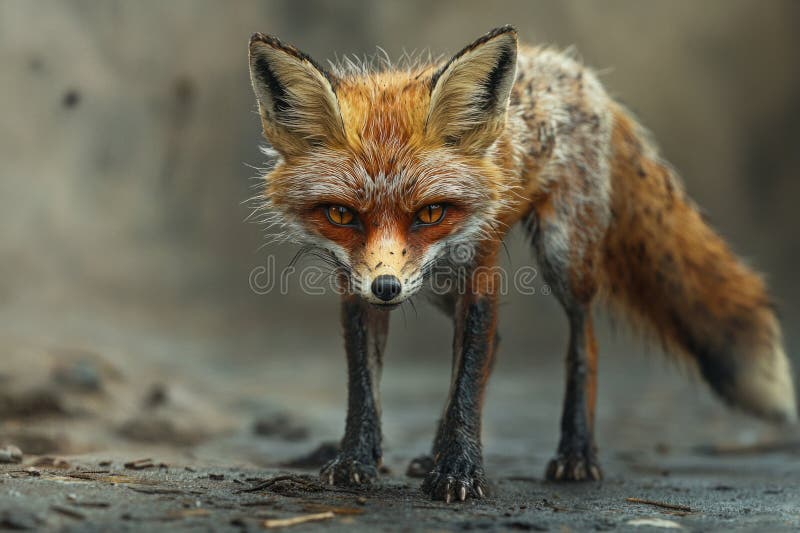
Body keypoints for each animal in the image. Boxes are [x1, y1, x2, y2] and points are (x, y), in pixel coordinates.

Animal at [247, 26, 797, 502]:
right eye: (341, 214)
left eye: (431, 213)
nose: (386, 288)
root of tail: (579, 73)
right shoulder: (355, 283)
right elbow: (366, 385)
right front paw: (357, 461)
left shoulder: (481, 271)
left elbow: (468, 378)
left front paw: (460, 471)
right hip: (438, 285)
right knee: (498, 344)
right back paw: (434, 451)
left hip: (564, 255)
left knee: (584, 342)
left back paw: (576, 454)